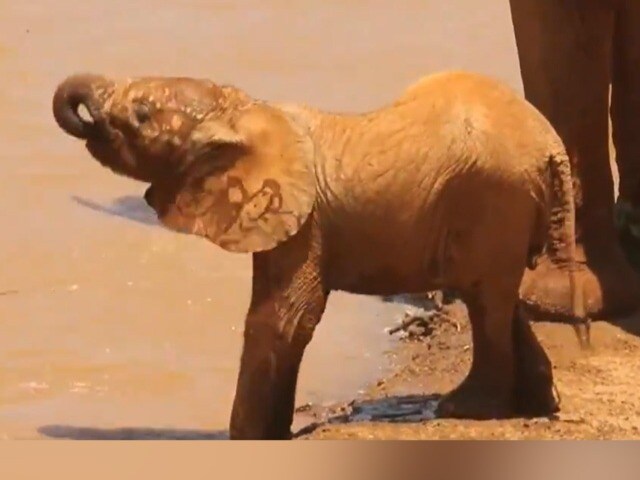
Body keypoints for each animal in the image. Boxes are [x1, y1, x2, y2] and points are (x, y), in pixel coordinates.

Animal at [52, 70, 586, 439]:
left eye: (140, 117)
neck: (245, 108)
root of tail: (553, 147)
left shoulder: (303, 219)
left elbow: (282, 318)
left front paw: (247, 439)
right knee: (496, 295)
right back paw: (539, 403)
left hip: (493, 198)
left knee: (484, 299)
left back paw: (464, 408)